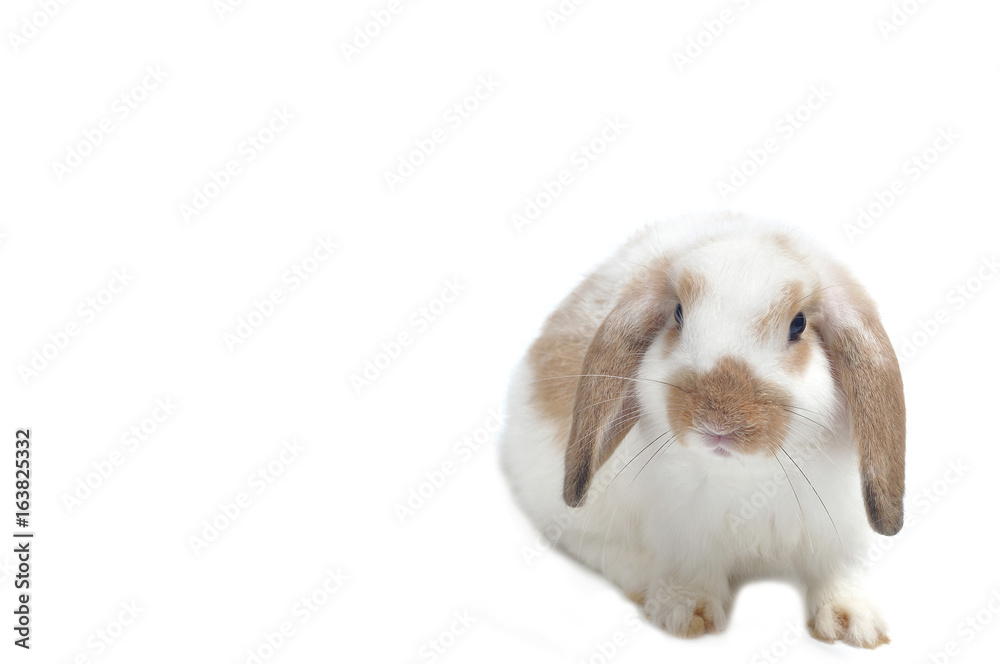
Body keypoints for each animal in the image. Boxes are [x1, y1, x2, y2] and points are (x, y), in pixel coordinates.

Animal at [499, 212, 905, 648]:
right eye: (678, 313)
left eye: (798, 324)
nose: (719, 420)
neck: (744, 476)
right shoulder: (686, 533)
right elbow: (692, 572)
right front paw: (686, 612)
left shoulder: (836, 528)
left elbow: (837, 570)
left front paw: (853, 623)